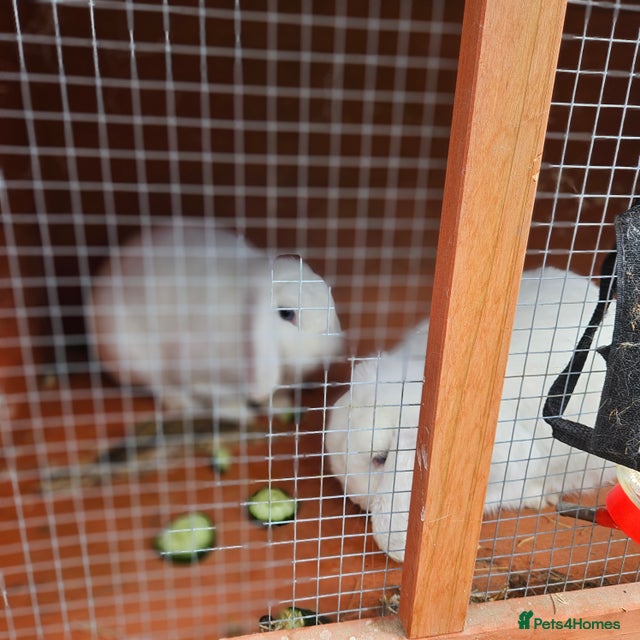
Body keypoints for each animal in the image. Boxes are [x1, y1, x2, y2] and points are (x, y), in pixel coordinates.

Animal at [87, 218, 344, 422]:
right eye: (286, 314)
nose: (328, 348)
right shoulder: (197, 367)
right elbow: (219, 395)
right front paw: (240, 415)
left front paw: (281, 406)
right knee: (158, 384)